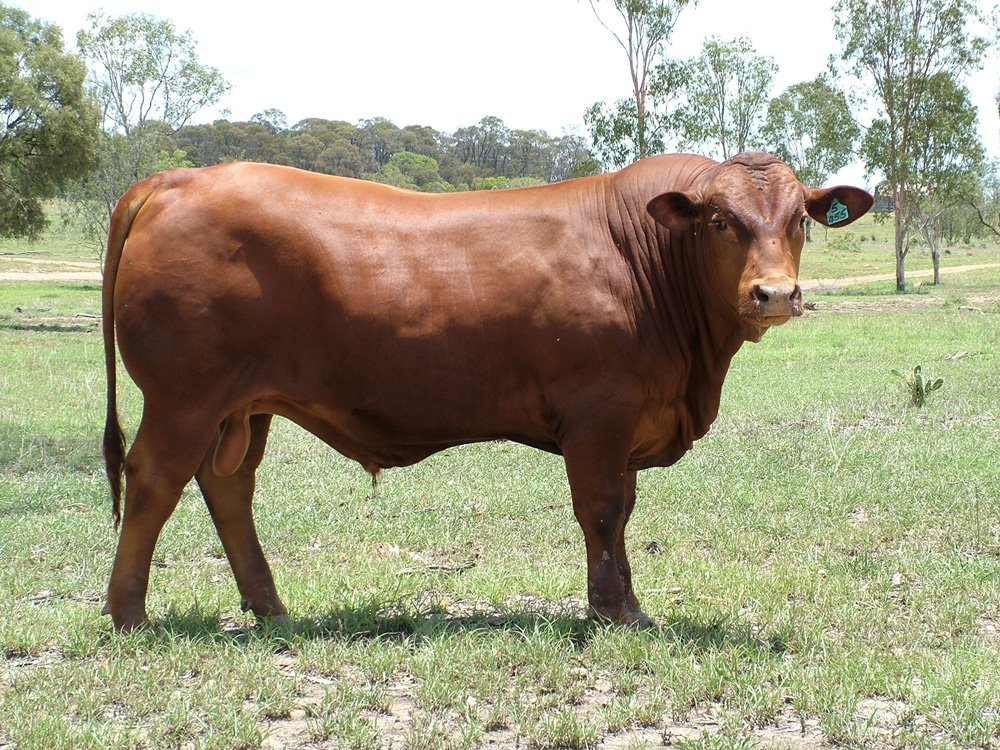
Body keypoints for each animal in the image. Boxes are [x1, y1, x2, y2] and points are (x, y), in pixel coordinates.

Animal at [101, 152, 873, 631]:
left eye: (799, 221)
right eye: (720, 221)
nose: (775, 294)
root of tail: (177, 179)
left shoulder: (628, 423)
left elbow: (623, 514)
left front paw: (628, 603)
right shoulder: (599, 415)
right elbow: (600, 511)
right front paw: (611, 611)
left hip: (243, 405)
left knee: (228, 487)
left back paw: (271, 609)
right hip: (184, 397)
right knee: (154, 481)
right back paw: (129, 614)